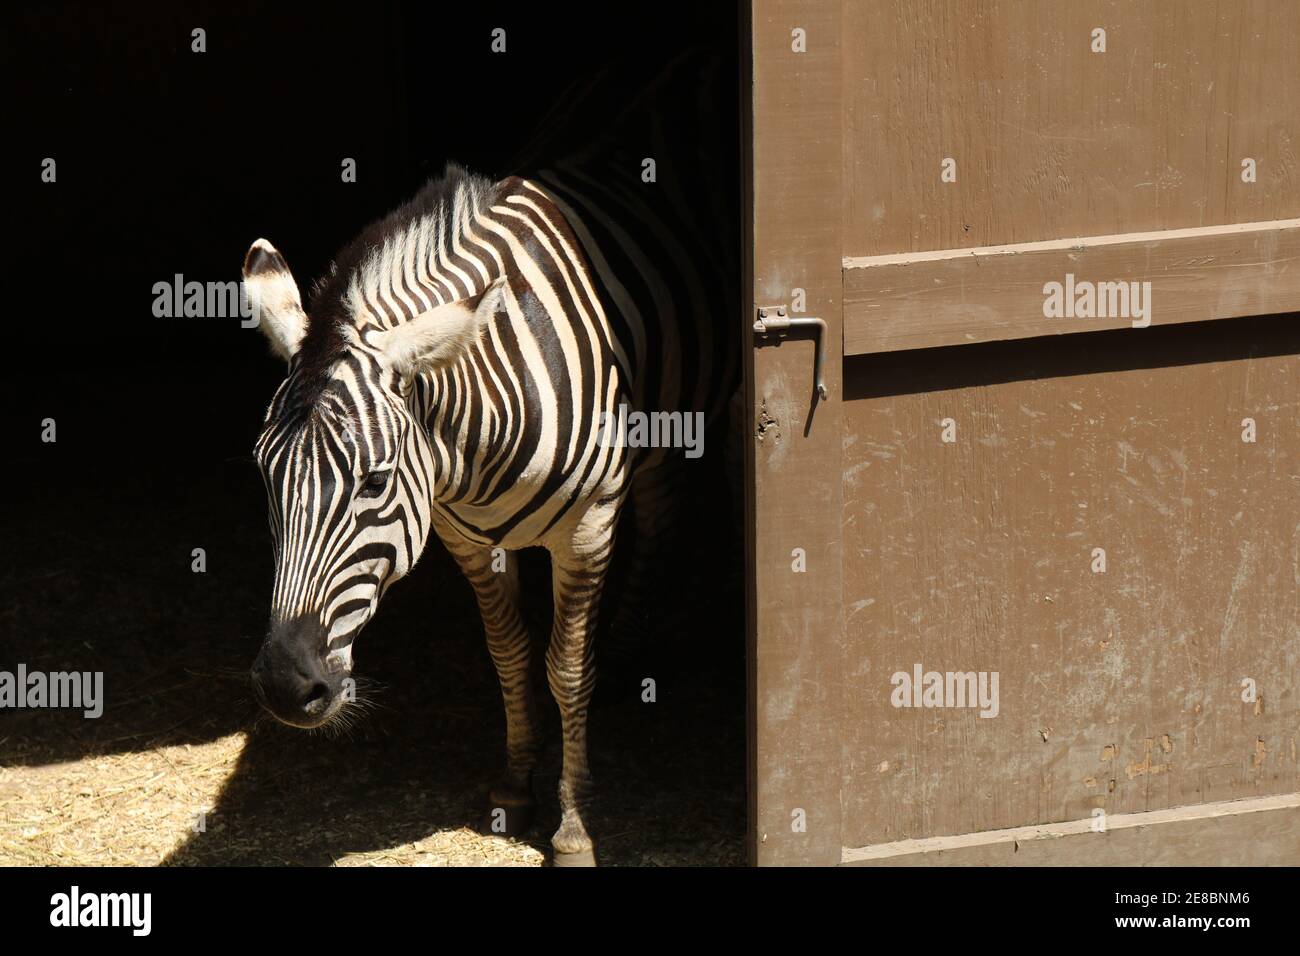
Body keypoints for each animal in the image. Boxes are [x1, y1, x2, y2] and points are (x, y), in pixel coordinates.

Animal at [244, 154, 735, 865]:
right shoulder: (467, 540)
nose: (286, 686)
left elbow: (567, 669)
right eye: (264, 475)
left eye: (375, 481)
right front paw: (515, 785)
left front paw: (574, 824)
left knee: (660, 516)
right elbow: (508, 654)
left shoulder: (588, 530)